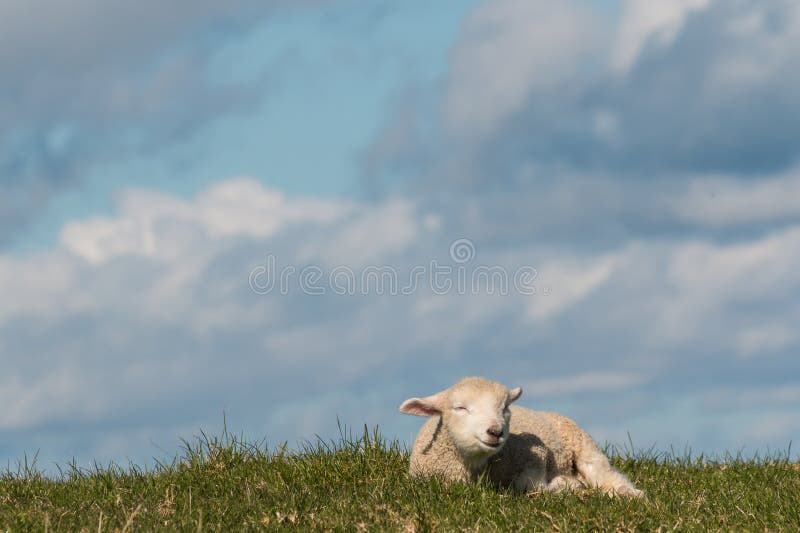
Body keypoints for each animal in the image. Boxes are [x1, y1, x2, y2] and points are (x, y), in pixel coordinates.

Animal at [399, 376, 642, 497]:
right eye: (460, 408)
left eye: (505, 407)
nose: (496, 431)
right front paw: (566, 484)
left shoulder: (537, 456)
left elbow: (531, 485)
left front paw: (564, 485)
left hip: (582, 444)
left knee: (605, 475)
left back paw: (629, 493)